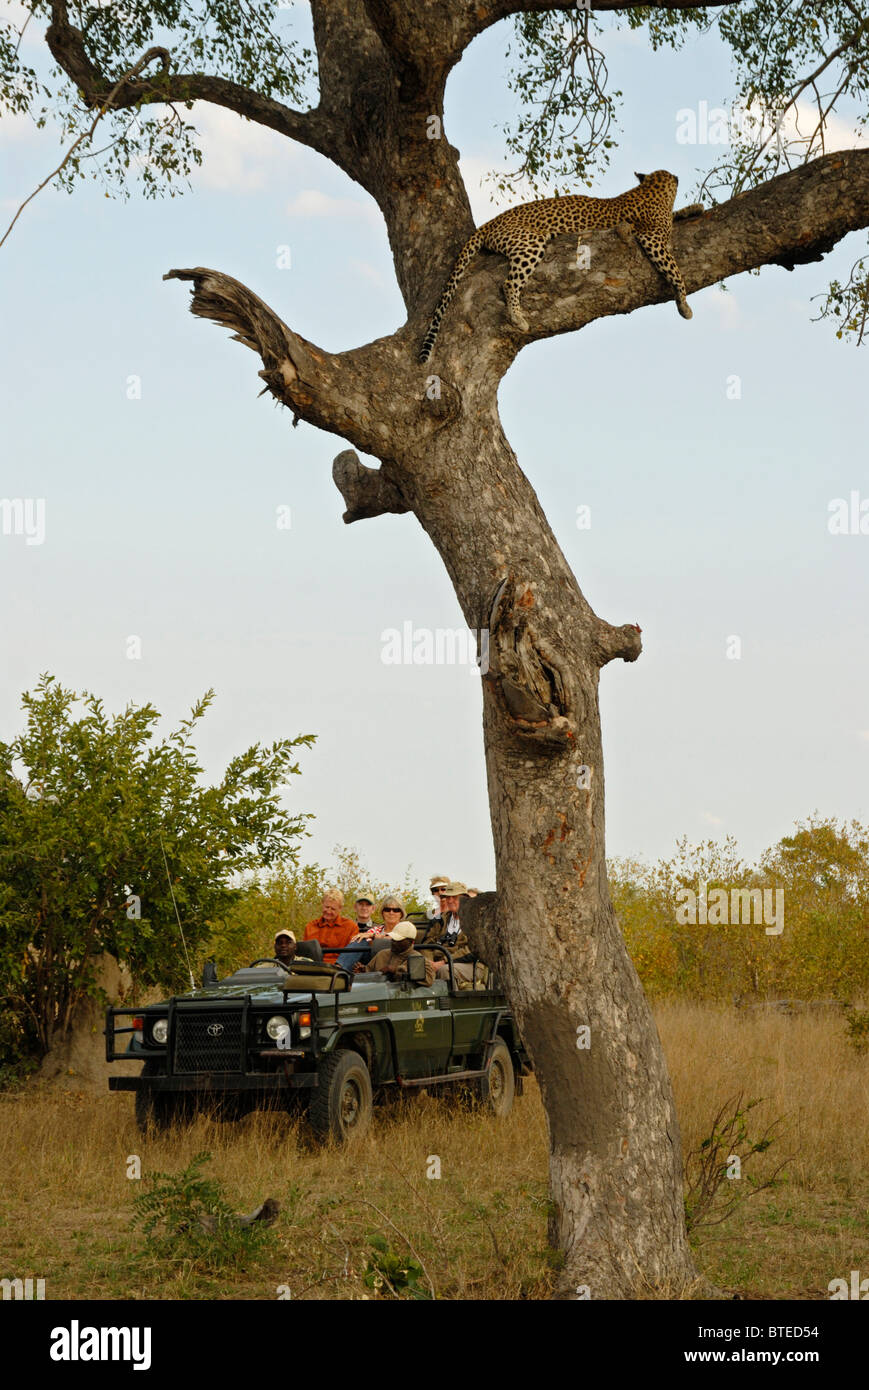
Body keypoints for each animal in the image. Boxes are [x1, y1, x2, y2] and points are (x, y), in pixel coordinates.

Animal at [418, 170, 704, 362]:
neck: (650, 189)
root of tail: (490, 222)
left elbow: (677, 216)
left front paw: (695, 207)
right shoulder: (652, 239)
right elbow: (676, 272)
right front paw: (685, 306)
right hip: (531, 242)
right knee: (509, 283)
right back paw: (518, 318)